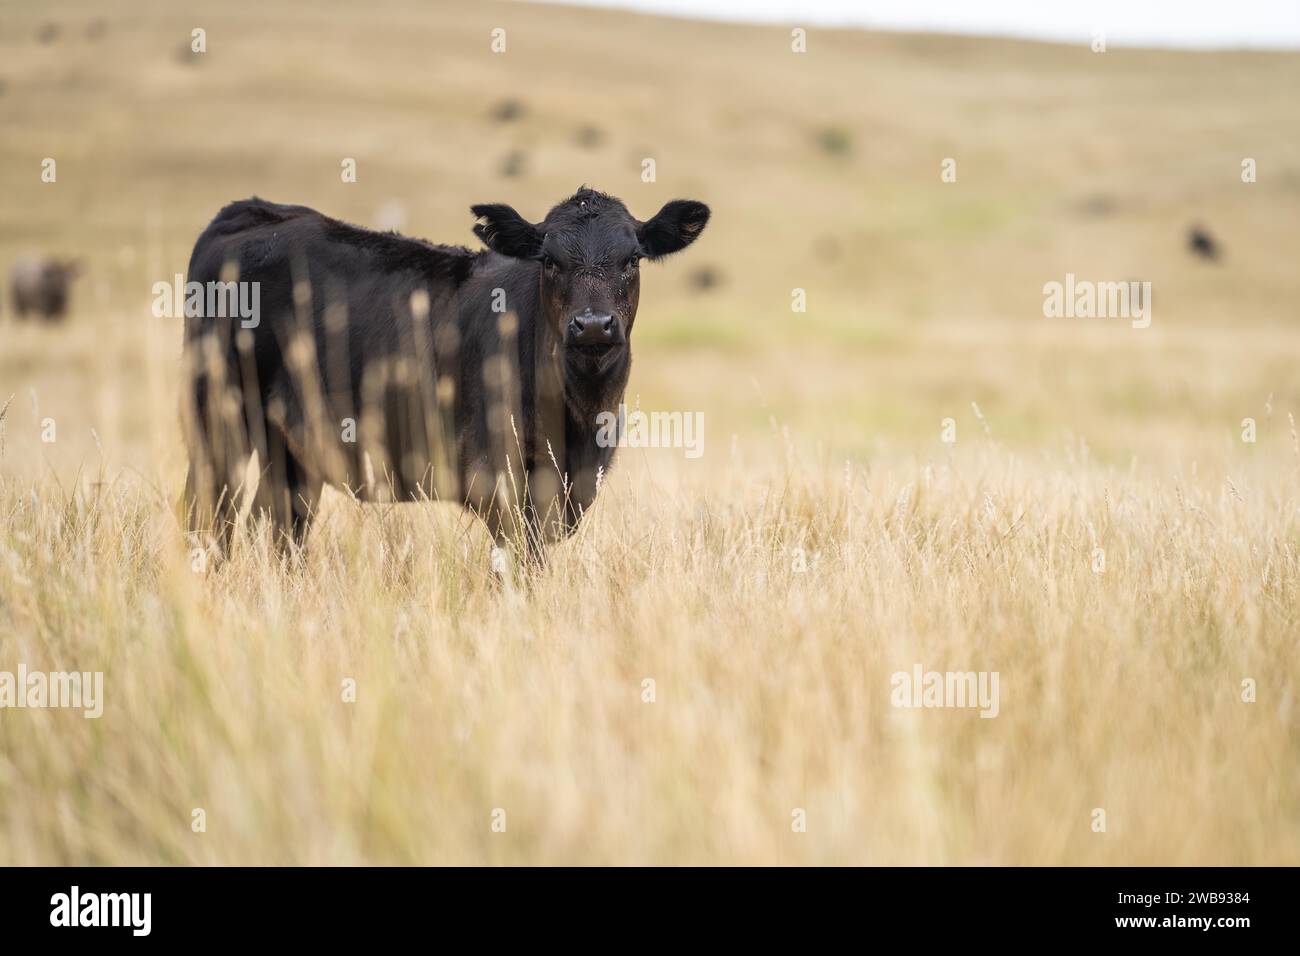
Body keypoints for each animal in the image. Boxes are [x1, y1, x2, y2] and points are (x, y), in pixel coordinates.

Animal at [181, 188, 710, 563]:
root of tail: (255, 210)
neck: (577, 420)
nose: (594, 325)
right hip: (218, 420)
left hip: (290, 449)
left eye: (632, 259)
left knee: (274, 528)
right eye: (549, 260)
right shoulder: (497, 479)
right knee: (208, 514)